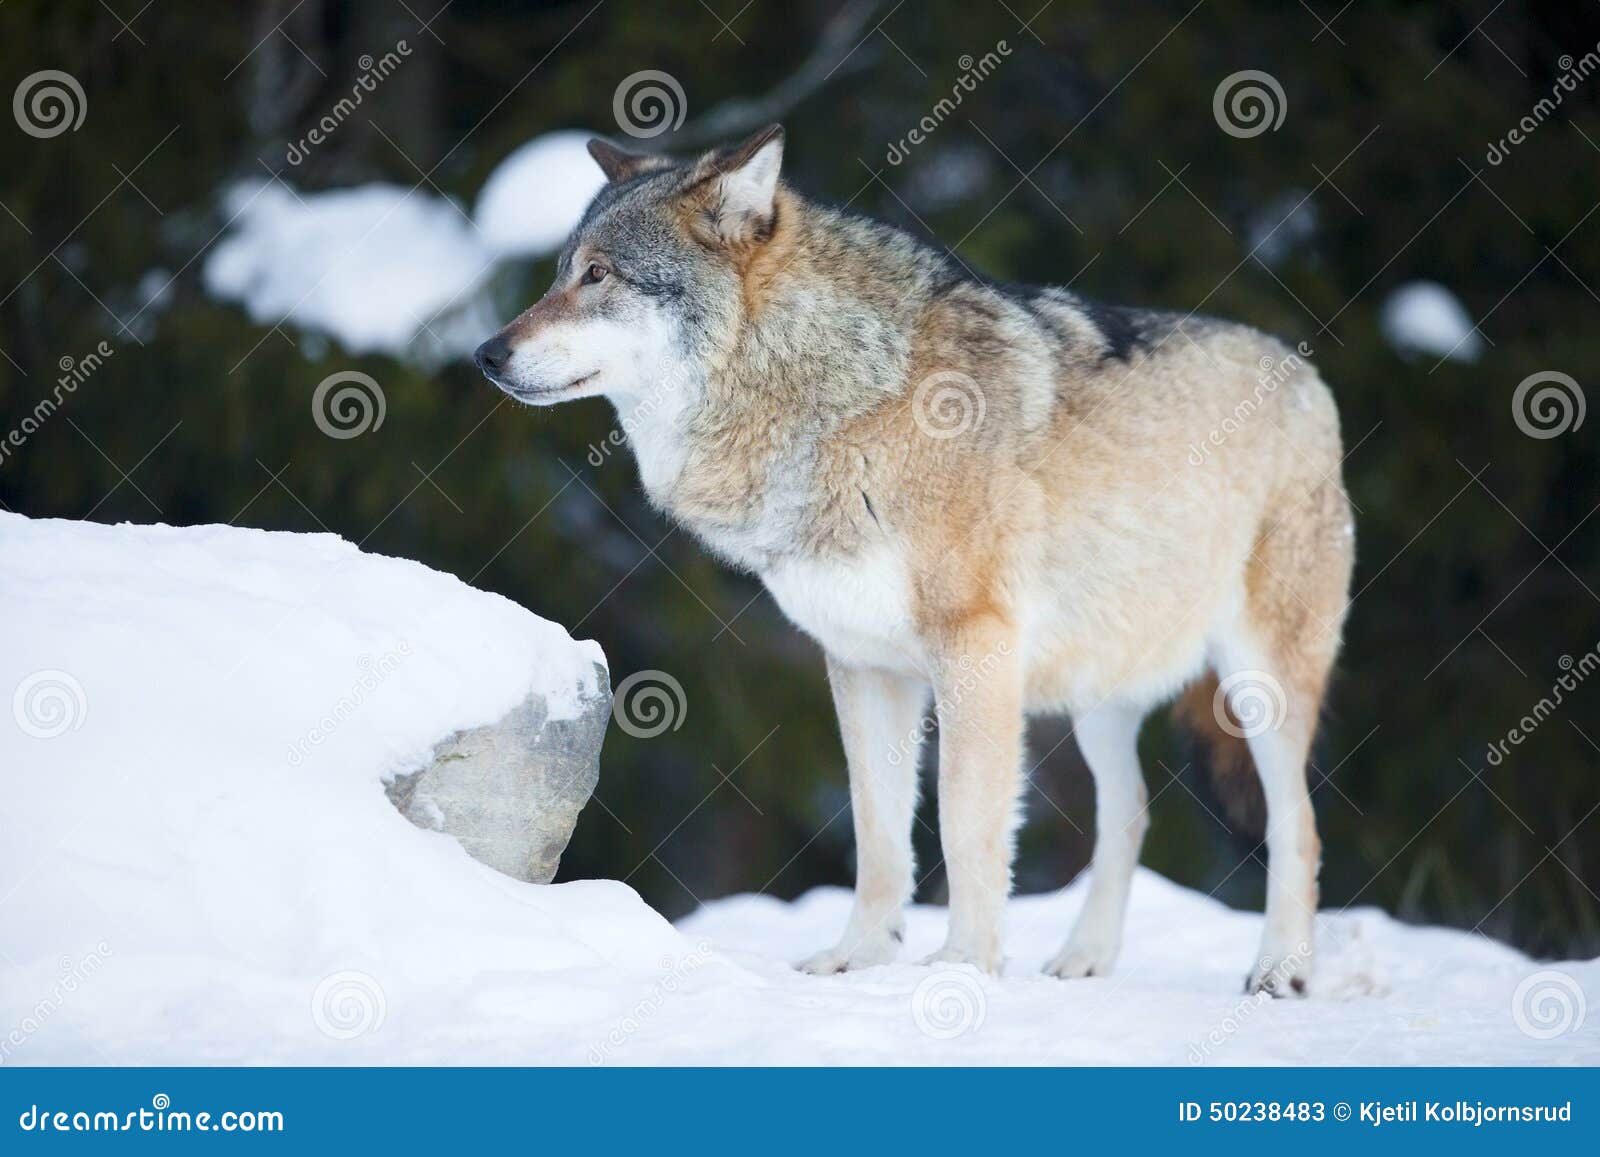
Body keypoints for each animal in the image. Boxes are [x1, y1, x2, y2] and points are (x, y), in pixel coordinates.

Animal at [474, 125, 1354, 994]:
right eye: (559, 273)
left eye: (598, 275)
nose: (486, 353)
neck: (840, 396)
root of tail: (1308, 374)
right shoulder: (864, 665)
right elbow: (878, 837)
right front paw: (859, 961)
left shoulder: (973, 648)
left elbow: (966, 827)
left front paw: (965, 965)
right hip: (1098, 694)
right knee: (1132, 808)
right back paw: (1084, 959)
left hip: (1259, 683)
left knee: (1301, 827)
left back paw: (1279, 970)